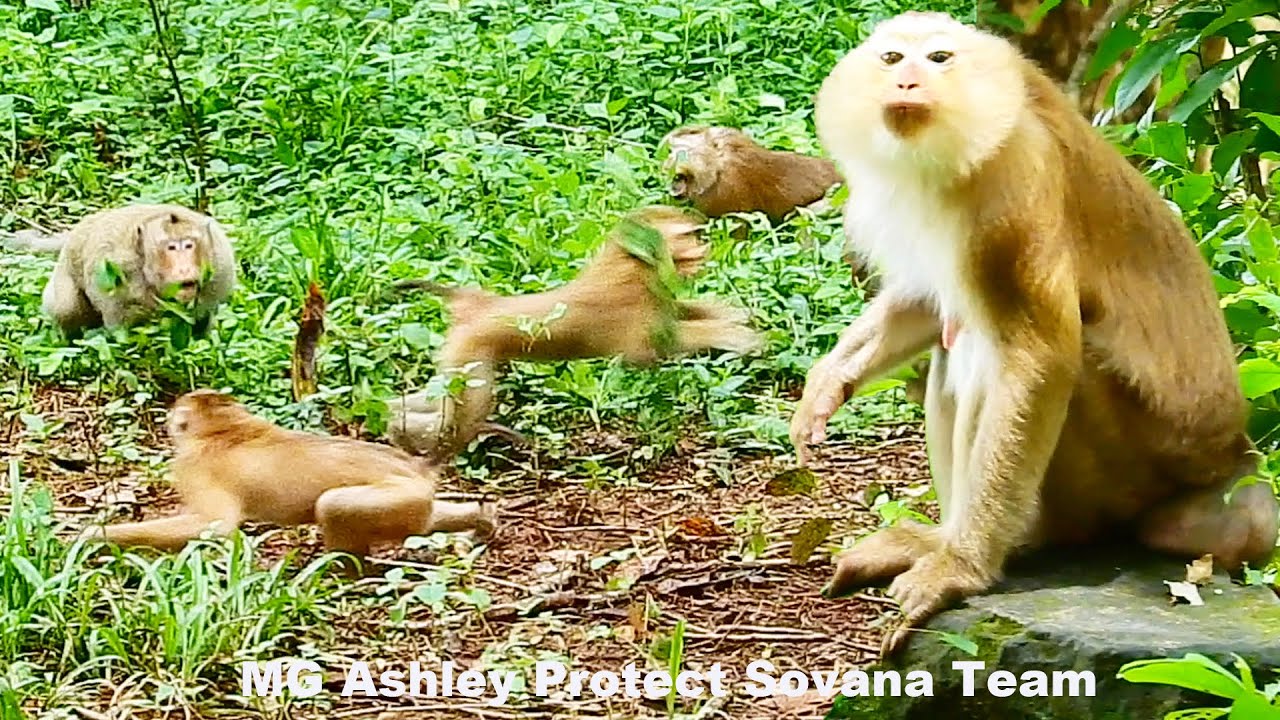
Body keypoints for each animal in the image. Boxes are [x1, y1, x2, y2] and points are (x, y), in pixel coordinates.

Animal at [5, 204, 236, 337]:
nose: (184, 267)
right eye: (171, 247)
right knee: (66, 307)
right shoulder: (117, 269)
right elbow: (119, 327)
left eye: (189, 244)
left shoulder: (221, 265)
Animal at [86, 389, 495, 565]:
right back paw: (480, 519)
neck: (226, 429)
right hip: (412, 498)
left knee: (330, 505)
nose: (168, 421)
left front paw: (95, 537)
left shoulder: (191, 467)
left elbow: (215, 524)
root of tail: (415, 468)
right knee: (425, 520)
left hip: (397, 494)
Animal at [388, 205, 763, 460]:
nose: (705, 250)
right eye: (689, 235)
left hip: (458, 356)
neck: (633, 265)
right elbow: (652, 350)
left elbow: (682, 314)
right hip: (470, 352)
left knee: (440, 395)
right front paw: (735, 335)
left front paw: (737, 316)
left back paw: (396, 423)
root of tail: (472, 302)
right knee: (462, 411)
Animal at [789, 12, 1279, 657]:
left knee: (988, 352)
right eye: (893, 58)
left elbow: (1039, 357)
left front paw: (962, 569)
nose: (908, 82)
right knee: (956, 338)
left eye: (939, 58)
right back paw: (940, 539)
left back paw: (1018, 541)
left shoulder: (1010, 192)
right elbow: (927, 297)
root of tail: (1231, 460)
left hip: (1124, 473)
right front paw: (829, 379)